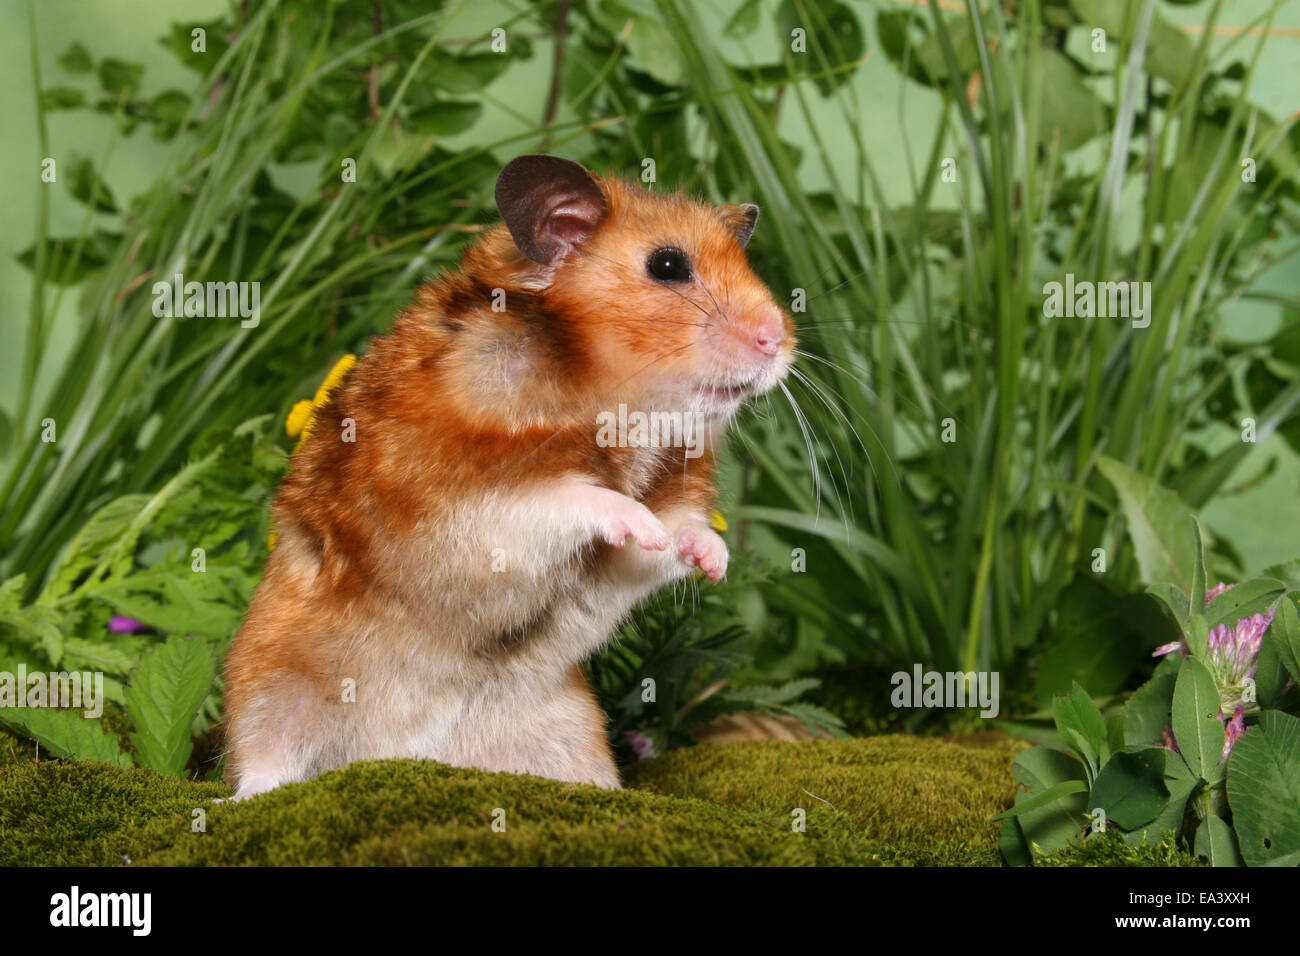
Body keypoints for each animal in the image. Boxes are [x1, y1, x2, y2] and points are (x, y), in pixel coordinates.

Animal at [221, 154, 795, 798]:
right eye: (668, 266)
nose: (778, 341)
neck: (622, 405)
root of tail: (398, 751)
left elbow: (667, 539)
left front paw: (714, 560)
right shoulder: (460, 506)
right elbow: (574, 499)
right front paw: (641, 522)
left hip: (565, 729)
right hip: (271, 685)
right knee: (265, 761)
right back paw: (240, 796)